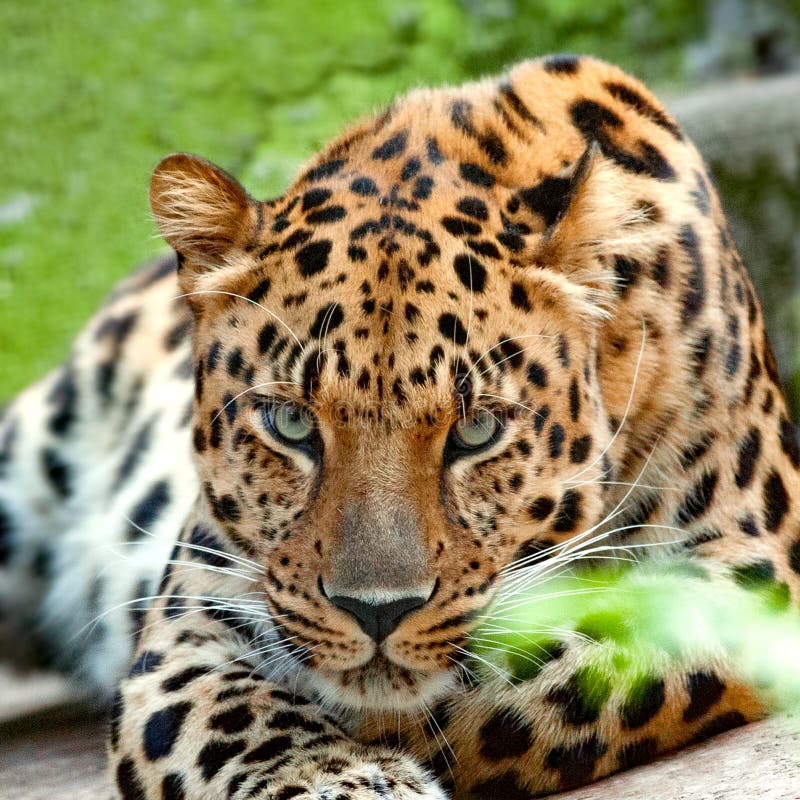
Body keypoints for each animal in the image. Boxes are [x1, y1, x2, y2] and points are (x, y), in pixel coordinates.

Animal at [1, 54, 799, 800]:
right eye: (291, 422)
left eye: (477, 431)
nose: (374, 612)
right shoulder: (190, 618)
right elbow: (240, 712)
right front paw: (341, 774)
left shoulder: (746, 570)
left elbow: (536, 679)